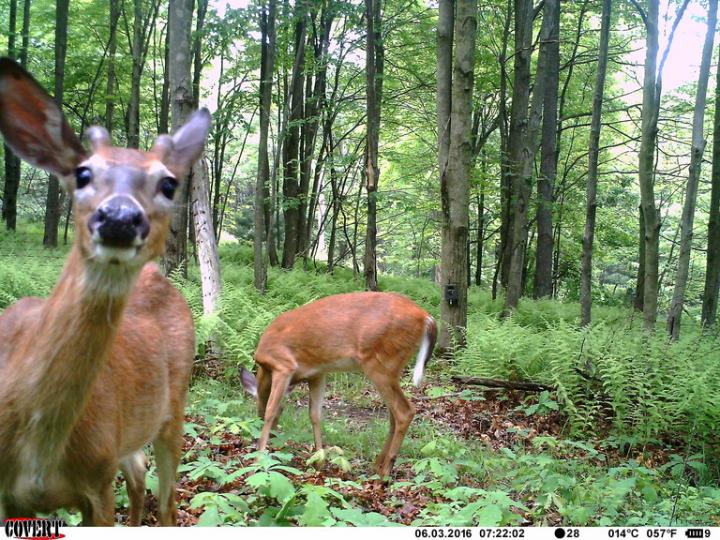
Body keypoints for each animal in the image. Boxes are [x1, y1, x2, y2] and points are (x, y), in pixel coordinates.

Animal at [0, 58, 210, 525]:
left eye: (168, 184)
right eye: (82, 173)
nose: (118, 217)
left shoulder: (97, 479)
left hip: (174, 407)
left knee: (167, 499)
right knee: (139, 470)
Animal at [241, 291, 436, 478]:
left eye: (257, 414)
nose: (274, 438)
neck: (265, 369)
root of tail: (426, 317)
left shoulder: (283, 366)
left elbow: (270, 410)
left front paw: (256, 463)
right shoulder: (317, 373)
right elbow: (315, 415)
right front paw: (319, 462)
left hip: (379, 363)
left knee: (404, 411)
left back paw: (383, 474)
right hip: (392, 368)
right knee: (393, 416)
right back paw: (376, 466)